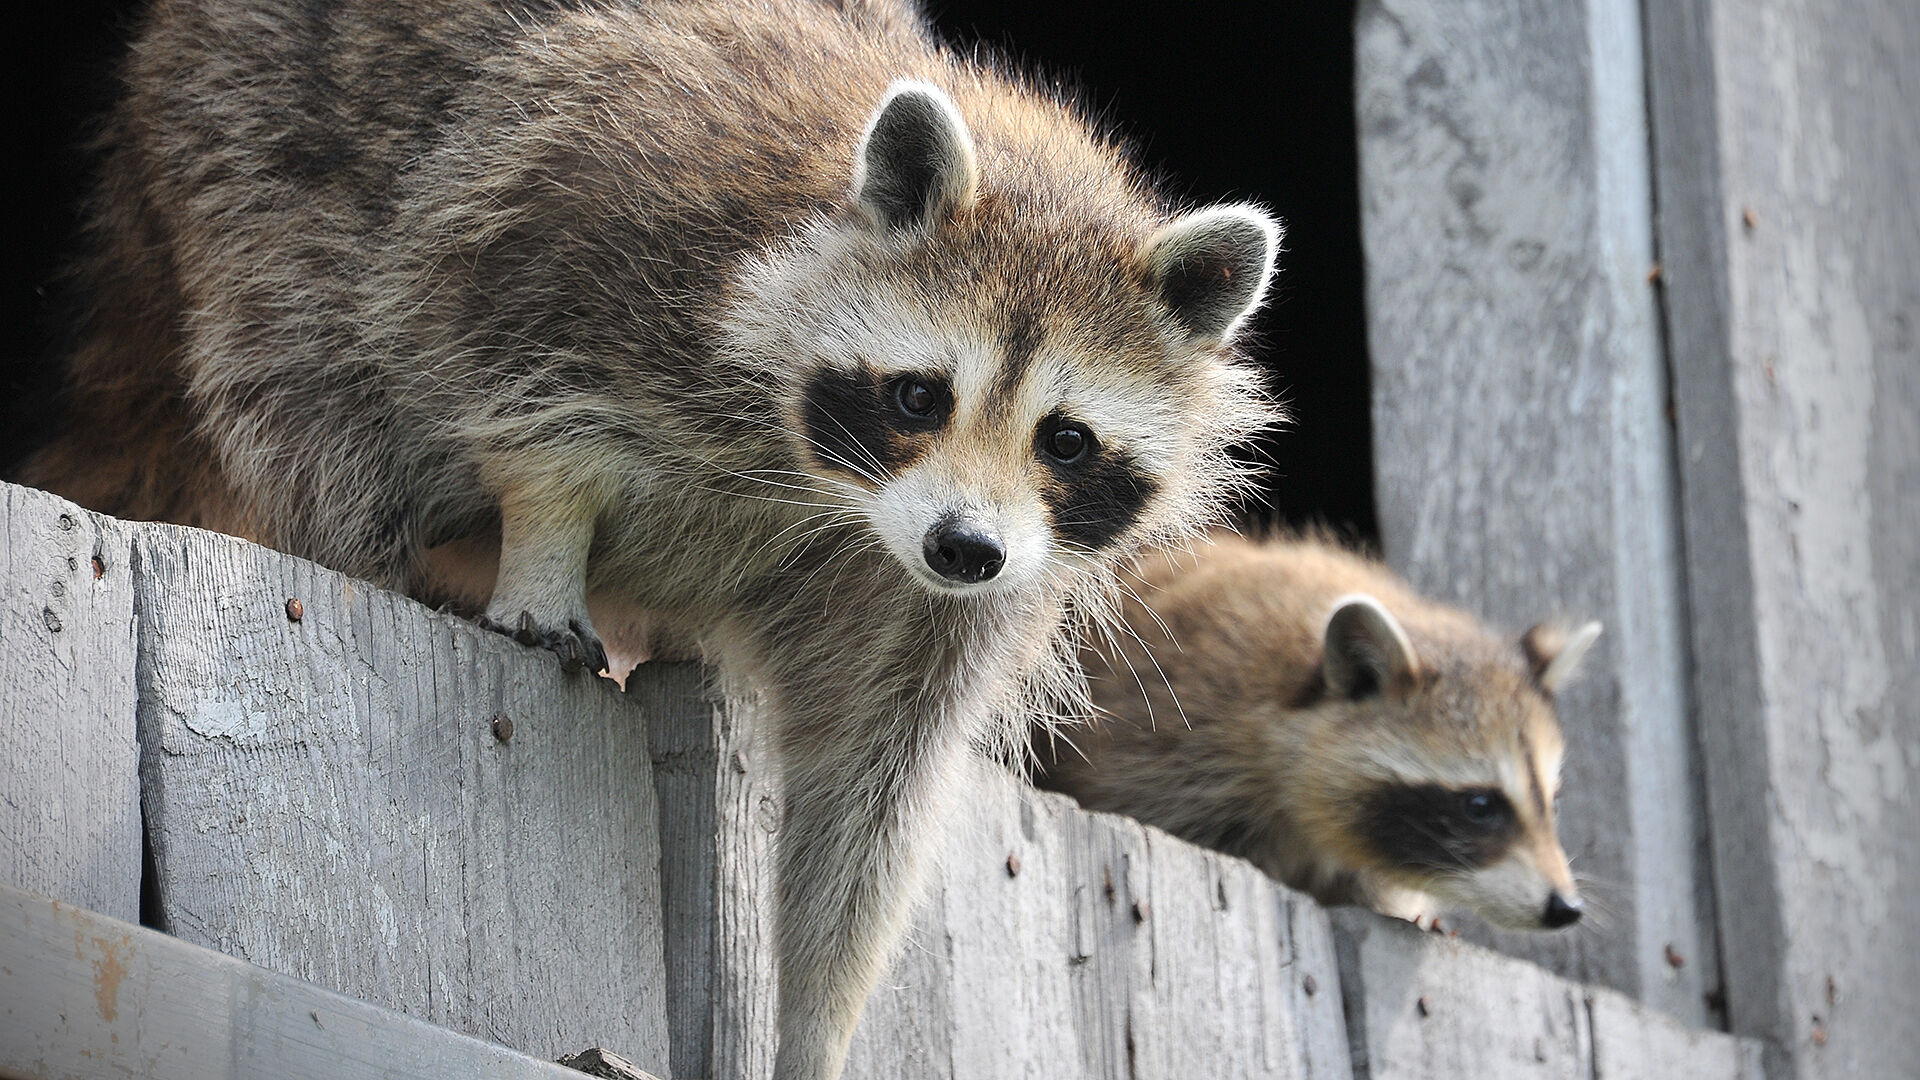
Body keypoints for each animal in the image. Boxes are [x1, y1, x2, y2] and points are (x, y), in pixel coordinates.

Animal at [20, 3, 1281, 1076]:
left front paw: (815, 1018)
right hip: (243, 148)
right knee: (305, 372)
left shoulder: (936, 596)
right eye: (921, 396)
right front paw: (543, 541)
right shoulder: (597, 227)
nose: (965, 546)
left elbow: (869, 797)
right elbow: (518, 384)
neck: (829, 487)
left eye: (1064, 440)